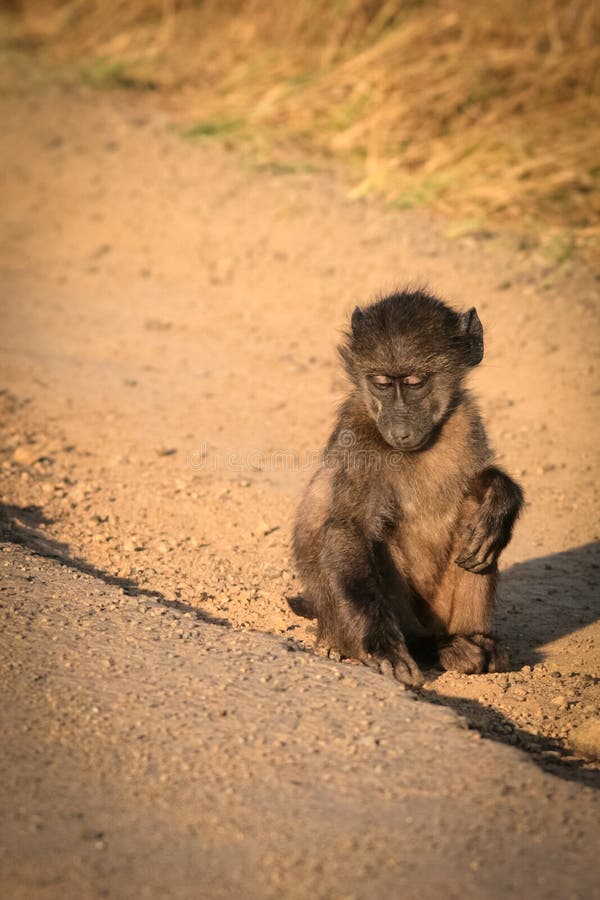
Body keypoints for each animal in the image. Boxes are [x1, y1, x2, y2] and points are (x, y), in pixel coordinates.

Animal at [289, 288, 523, 686]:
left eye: (415, 382)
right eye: (381, 382)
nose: (399, 431)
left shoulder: (465, 421)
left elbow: (480, 483)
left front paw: (499, 502)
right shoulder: (359, 436)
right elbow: (348, 529)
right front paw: (384, 645)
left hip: (444, 608)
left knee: (475, 530)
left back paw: (475, 643)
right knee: (374, 539)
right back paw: (432, 648)